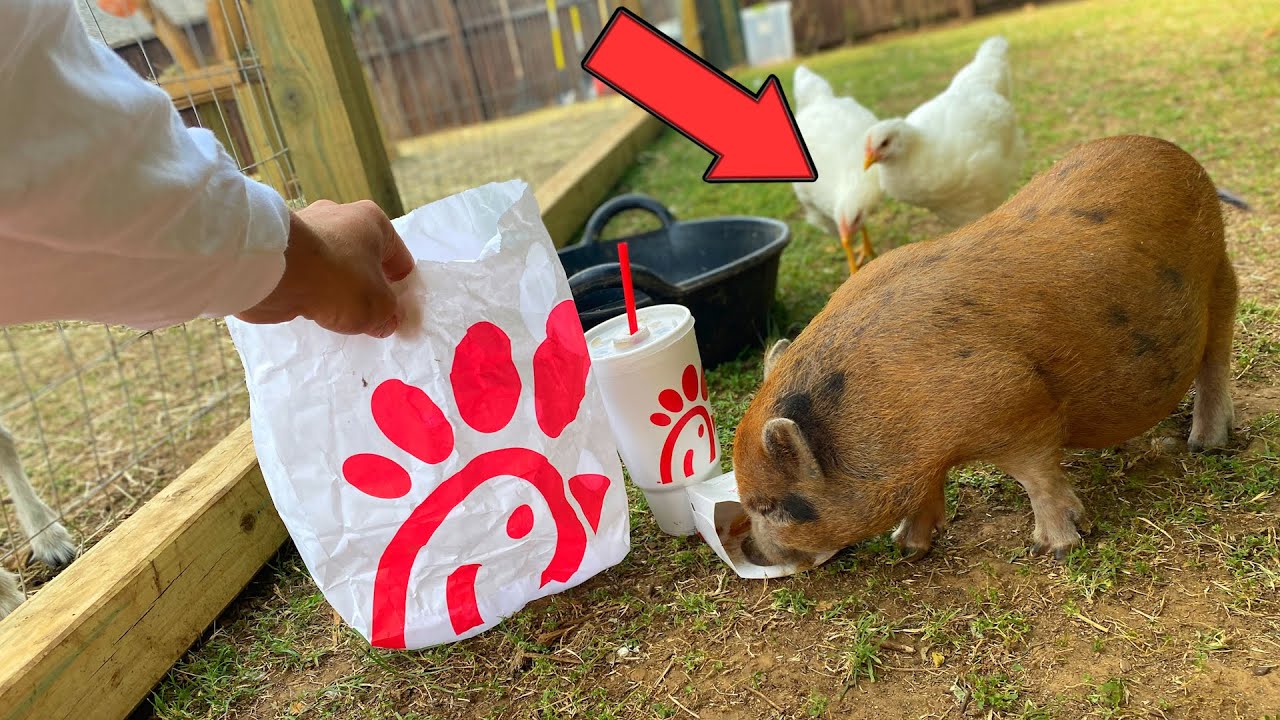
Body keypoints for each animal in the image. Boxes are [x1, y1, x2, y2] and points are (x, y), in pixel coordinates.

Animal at [732, 134, 1240, 566]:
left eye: (772, 506)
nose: (752, 550)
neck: (887, 408)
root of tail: (1176, 153)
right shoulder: (927, 459)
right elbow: (928, 493)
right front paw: (907, 548)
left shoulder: (1020, 401)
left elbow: (1039, 477)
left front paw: (1057, 549)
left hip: (1220, 274)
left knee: (1215, 362)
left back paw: (1206, 444)